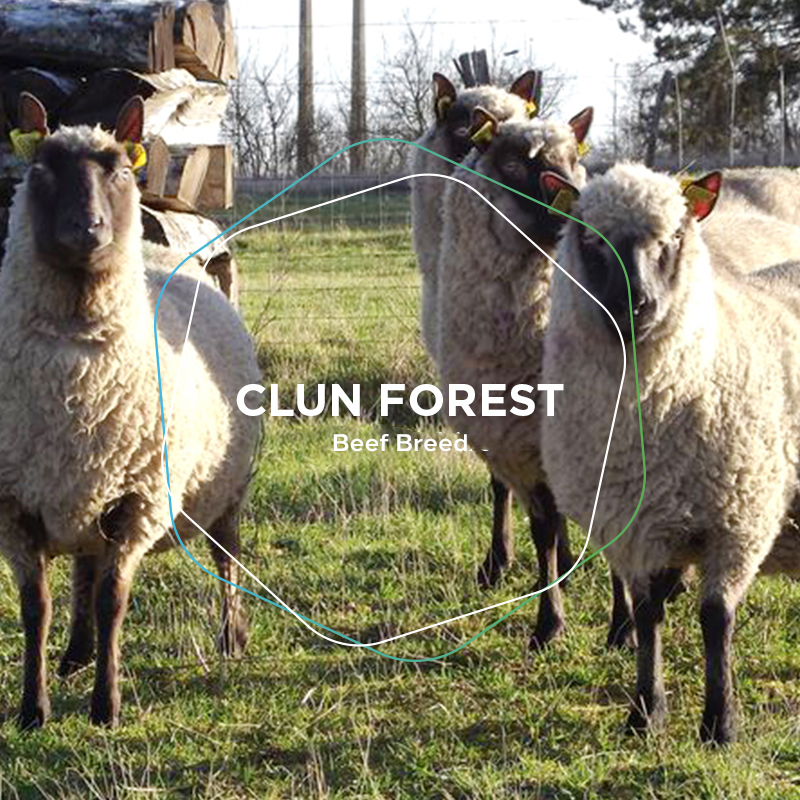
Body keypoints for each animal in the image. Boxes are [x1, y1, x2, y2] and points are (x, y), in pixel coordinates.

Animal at [0, 93, 261, 729]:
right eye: (41, 168)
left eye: (119, 168)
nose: (87, 229)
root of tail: (159, 251)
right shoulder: (16, 505)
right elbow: (36, 607)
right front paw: (32, 708)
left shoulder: (138, 501)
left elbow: (112, 602)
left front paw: (106, 706)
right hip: (83, 491)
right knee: (82, 568)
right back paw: (74, 656)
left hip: (225, 485)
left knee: (226, 557)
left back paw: (231, 637)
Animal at [432, 106, 637, 650]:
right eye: (512, 163)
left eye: (574, 159)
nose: (584, 216)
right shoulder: (521, 444)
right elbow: (542, 529)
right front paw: (549, 623)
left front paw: (623, 627)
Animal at [539, 161, 800, 744]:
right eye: (589, 238)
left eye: (676, 237)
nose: (634, 305)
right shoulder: (633, 527)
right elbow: (646, 613)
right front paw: (645, 712)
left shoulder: (739, 523)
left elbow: (716, 618)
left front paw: (720, 723)